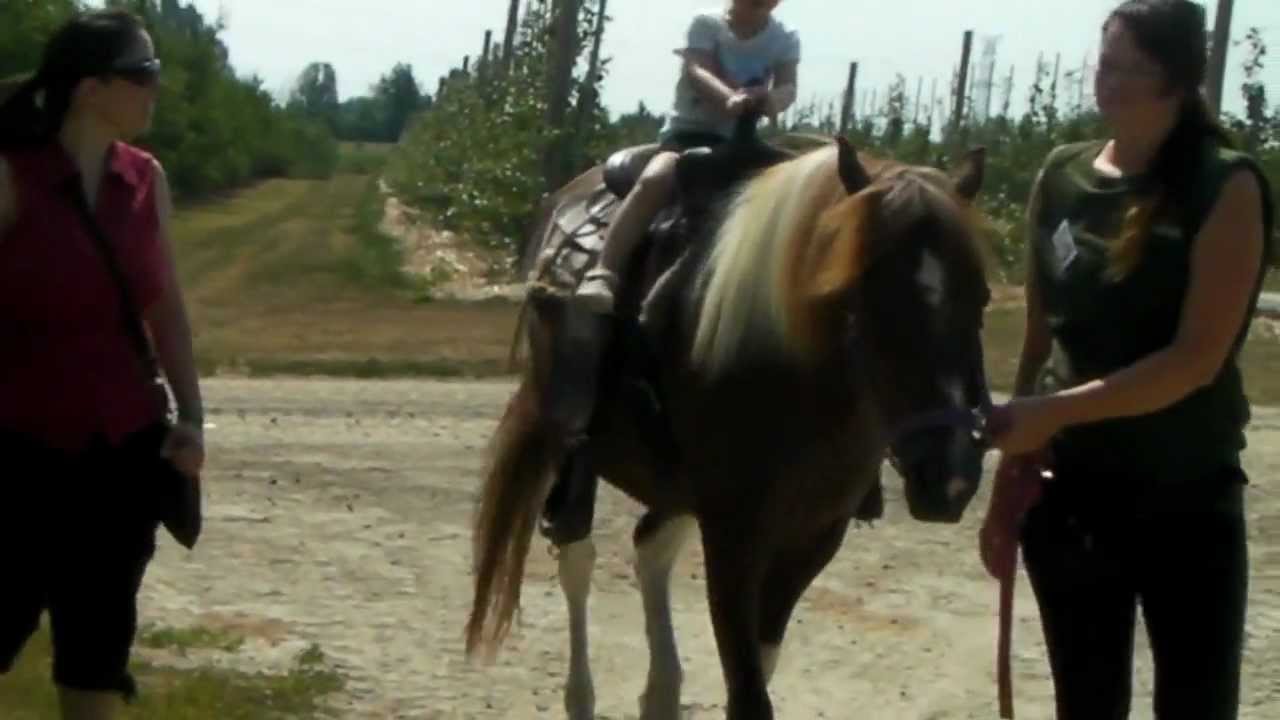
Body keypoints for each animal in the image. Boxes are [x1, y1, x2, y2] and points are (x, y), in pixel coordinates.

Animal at [465, 129, 995, 720]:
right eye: (870, 295)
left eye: (981, 298)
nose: (949, 478)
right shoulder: (733, 535)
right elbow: (748, 693)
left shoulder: (816, 534)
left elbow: (759, 668)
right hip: (578, 450)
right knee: (578, 556)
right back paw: (583, 696)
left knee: (650, 547)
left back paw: (662, 692)